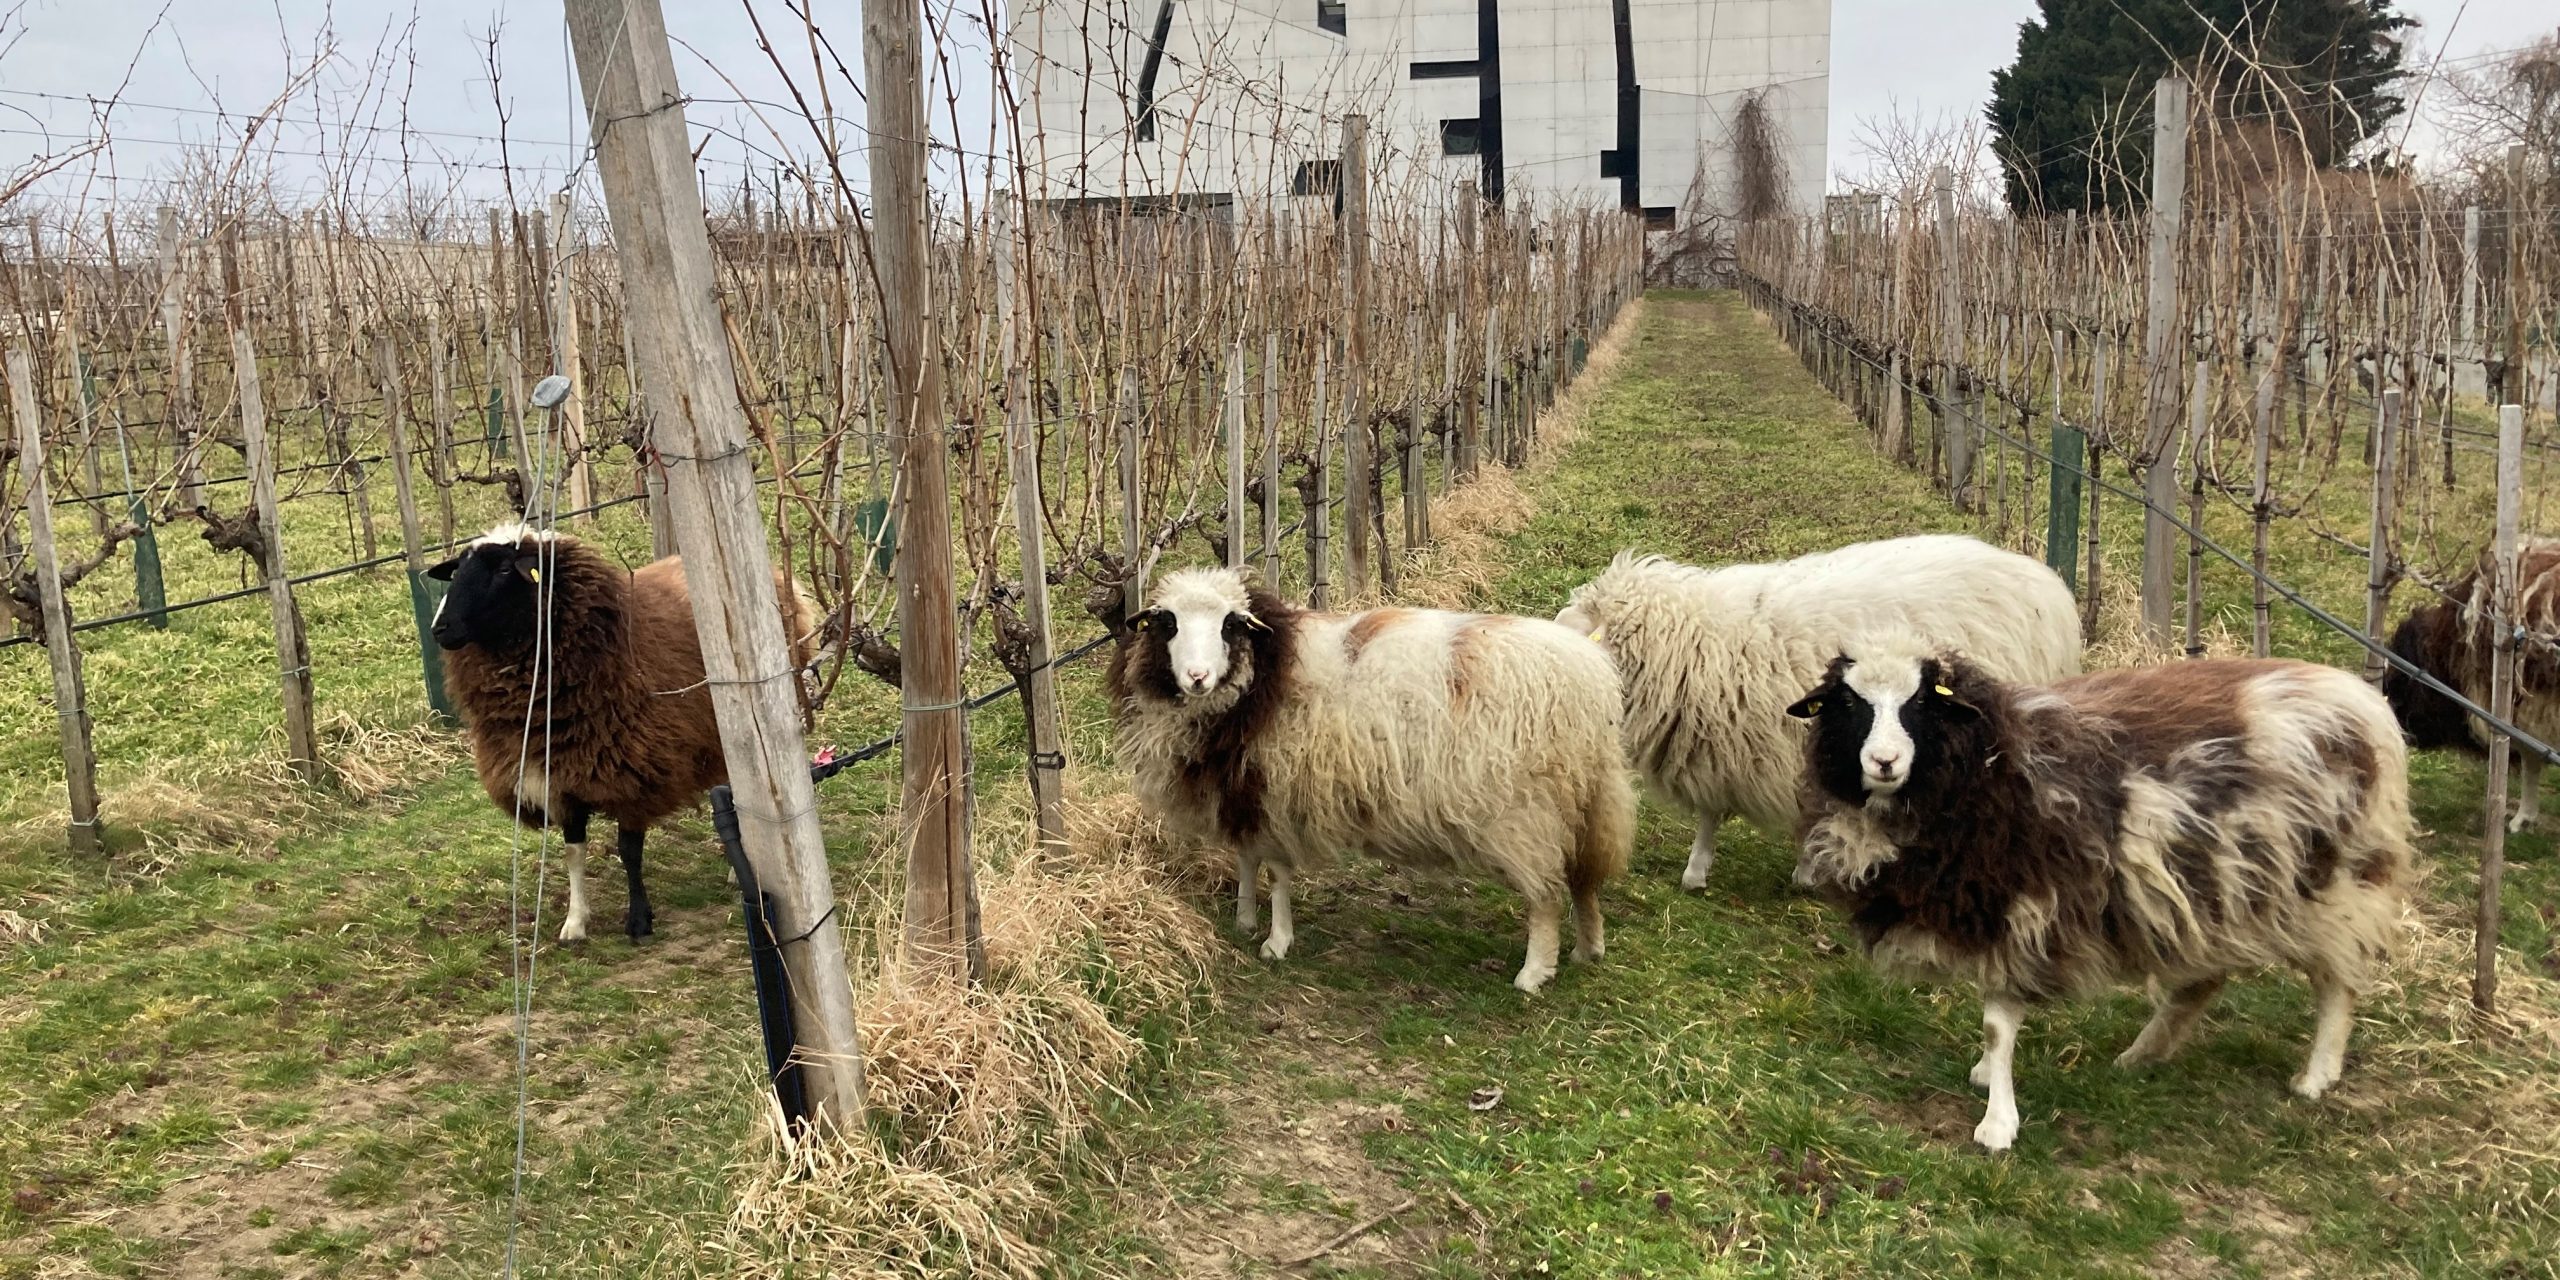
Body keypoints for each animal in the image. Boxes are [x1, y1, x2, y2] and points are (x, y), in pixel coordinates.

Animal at [428, 521, 818, 943]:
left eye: (502, 570)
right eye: (457, 571)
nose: (439, 628)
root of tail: (778, 575)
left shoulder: (634, 772)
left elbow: (628, 850)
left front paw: (638, 919)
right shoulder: (560, 778)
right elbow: (573, 852)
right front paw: (575, 921)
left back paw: (738, 870)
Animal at [1106, 566, 1636, 993]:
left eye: (1230, 625)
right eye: (1168, 623)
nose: (1197, 676)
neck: (1265, 673)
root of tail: (1591, 677)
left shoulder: (1276, 791)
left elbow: (1275, 872)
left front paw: (1277, 941)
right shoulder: (1247, 791)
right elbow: (1247, 858)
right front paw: (1244, 918)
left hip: (1526, 811)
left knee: (1545, 896)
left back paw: (1533, 972)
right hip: (1587, 800)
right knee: (1585, 879)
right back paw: (1588, 948)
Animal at [1553, 534, 2080, 891]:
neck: (1693, 643)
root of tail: (2049, 586)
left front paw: (1807, 873)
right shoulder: (1719, 741)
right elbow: (1710, 813)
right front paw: (1696, 871)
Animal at [1785, 643, 2413, 1152]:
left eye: (1920, 703)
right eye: (1849, 705)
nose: (1884, 761)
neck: (1988, 762)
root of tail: (2362, 700)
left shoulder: (2024, 907)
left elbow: (1997, 1025)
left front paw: (1997, 1123)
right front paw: (1988, 1078)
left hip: (2333, 886)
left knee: (2336, 984)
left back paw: (2316, 1076)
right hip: (2212, 891)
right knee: (2202, 981)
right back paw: (2141, 1055)